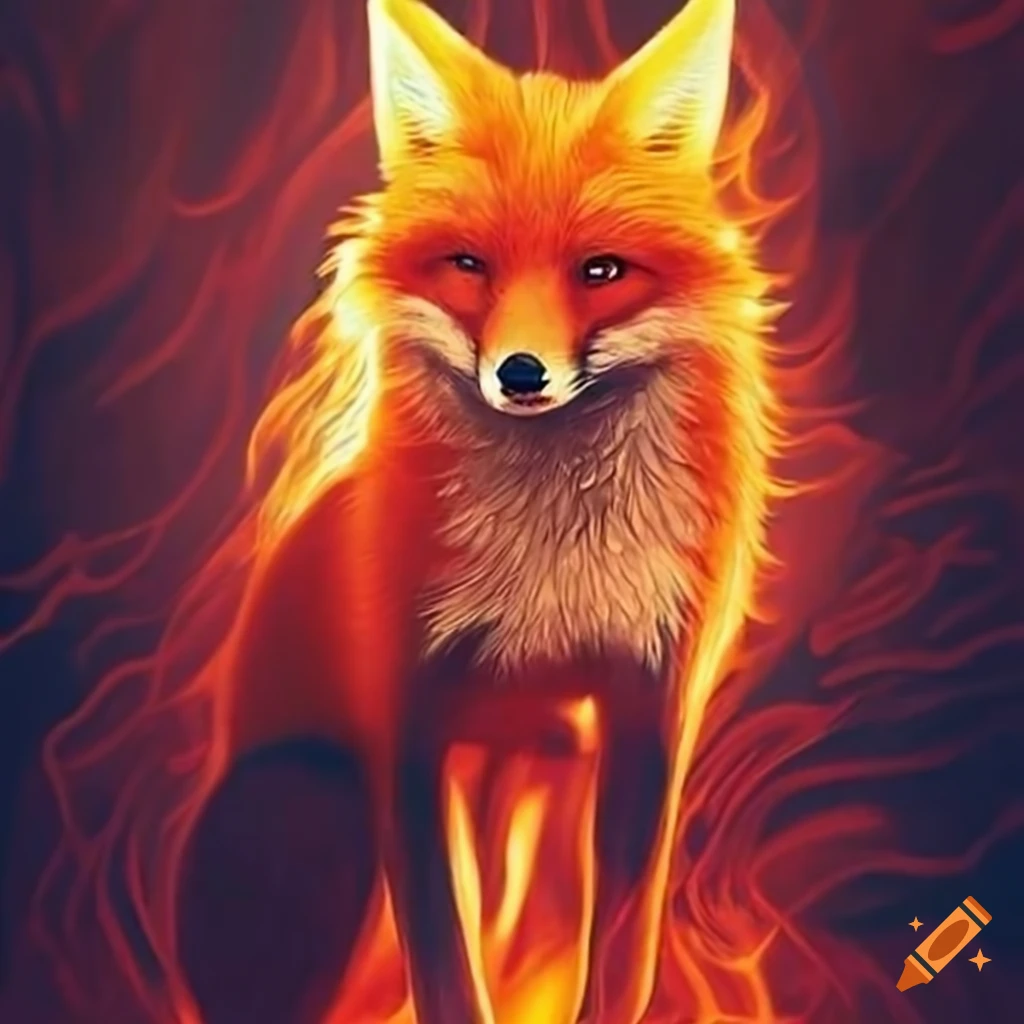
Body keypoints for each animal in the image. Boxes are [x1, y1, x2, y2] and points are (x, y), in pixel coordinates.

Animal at [216, 0, 779, 1022]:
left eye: (601, 271)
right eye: (469, 265)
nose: (520, 373)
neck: (552, 576)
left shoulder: (651, 712)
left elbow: (622, 956)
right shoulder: (407, 724)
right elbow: (445, 962)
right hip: (318, 805)